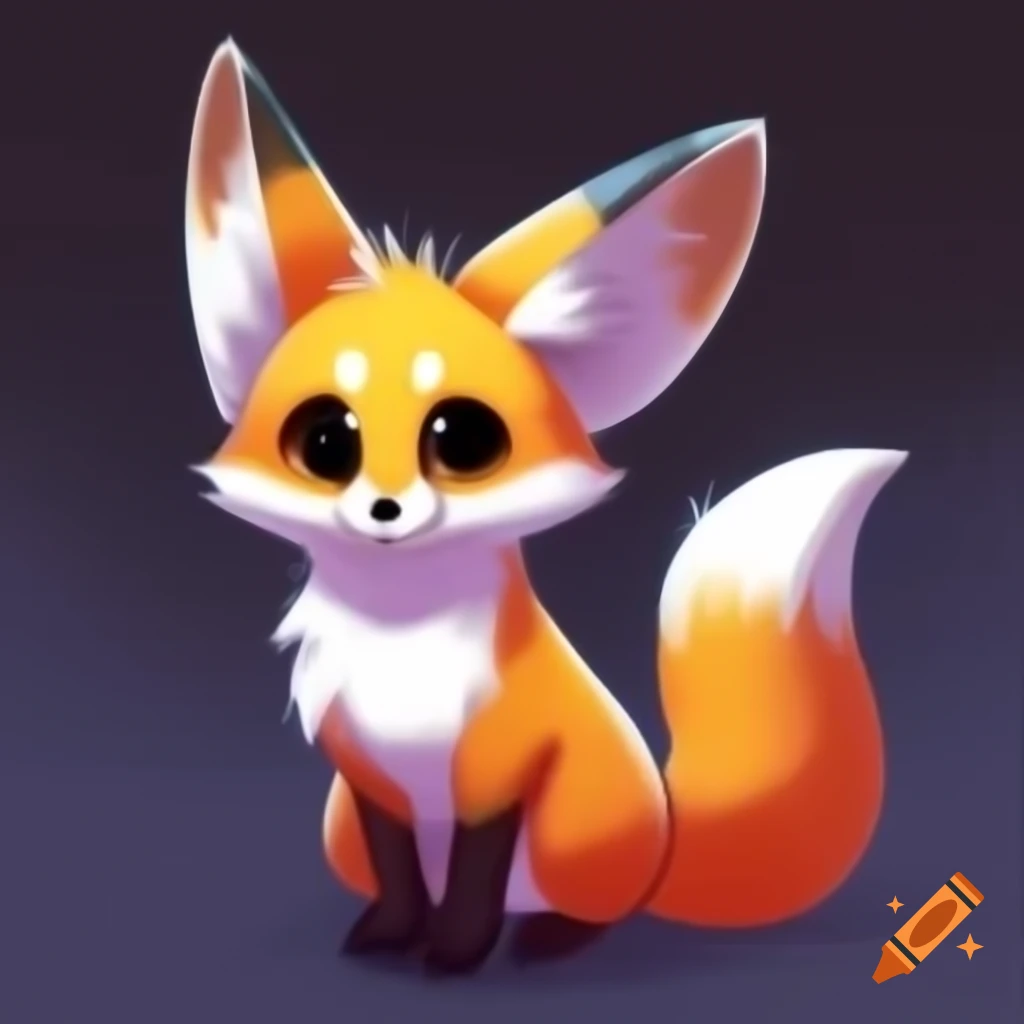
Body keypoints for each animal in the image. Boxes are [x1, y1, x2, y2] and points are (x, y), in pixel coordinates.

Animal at [184, 38, 907, 975]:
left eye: (462, 439)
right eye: (326, 444)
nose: (383, 510)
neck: (401, 650)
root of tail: (666, 836)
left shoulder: (501, 774)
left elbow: (472, 879)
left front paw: (456, 953)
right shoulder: (370, 783)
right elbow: (402, 871)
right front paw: (393, 935)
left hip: (569, 836)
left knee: (589, 907)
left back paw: (549, 936)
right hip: (337, 827)